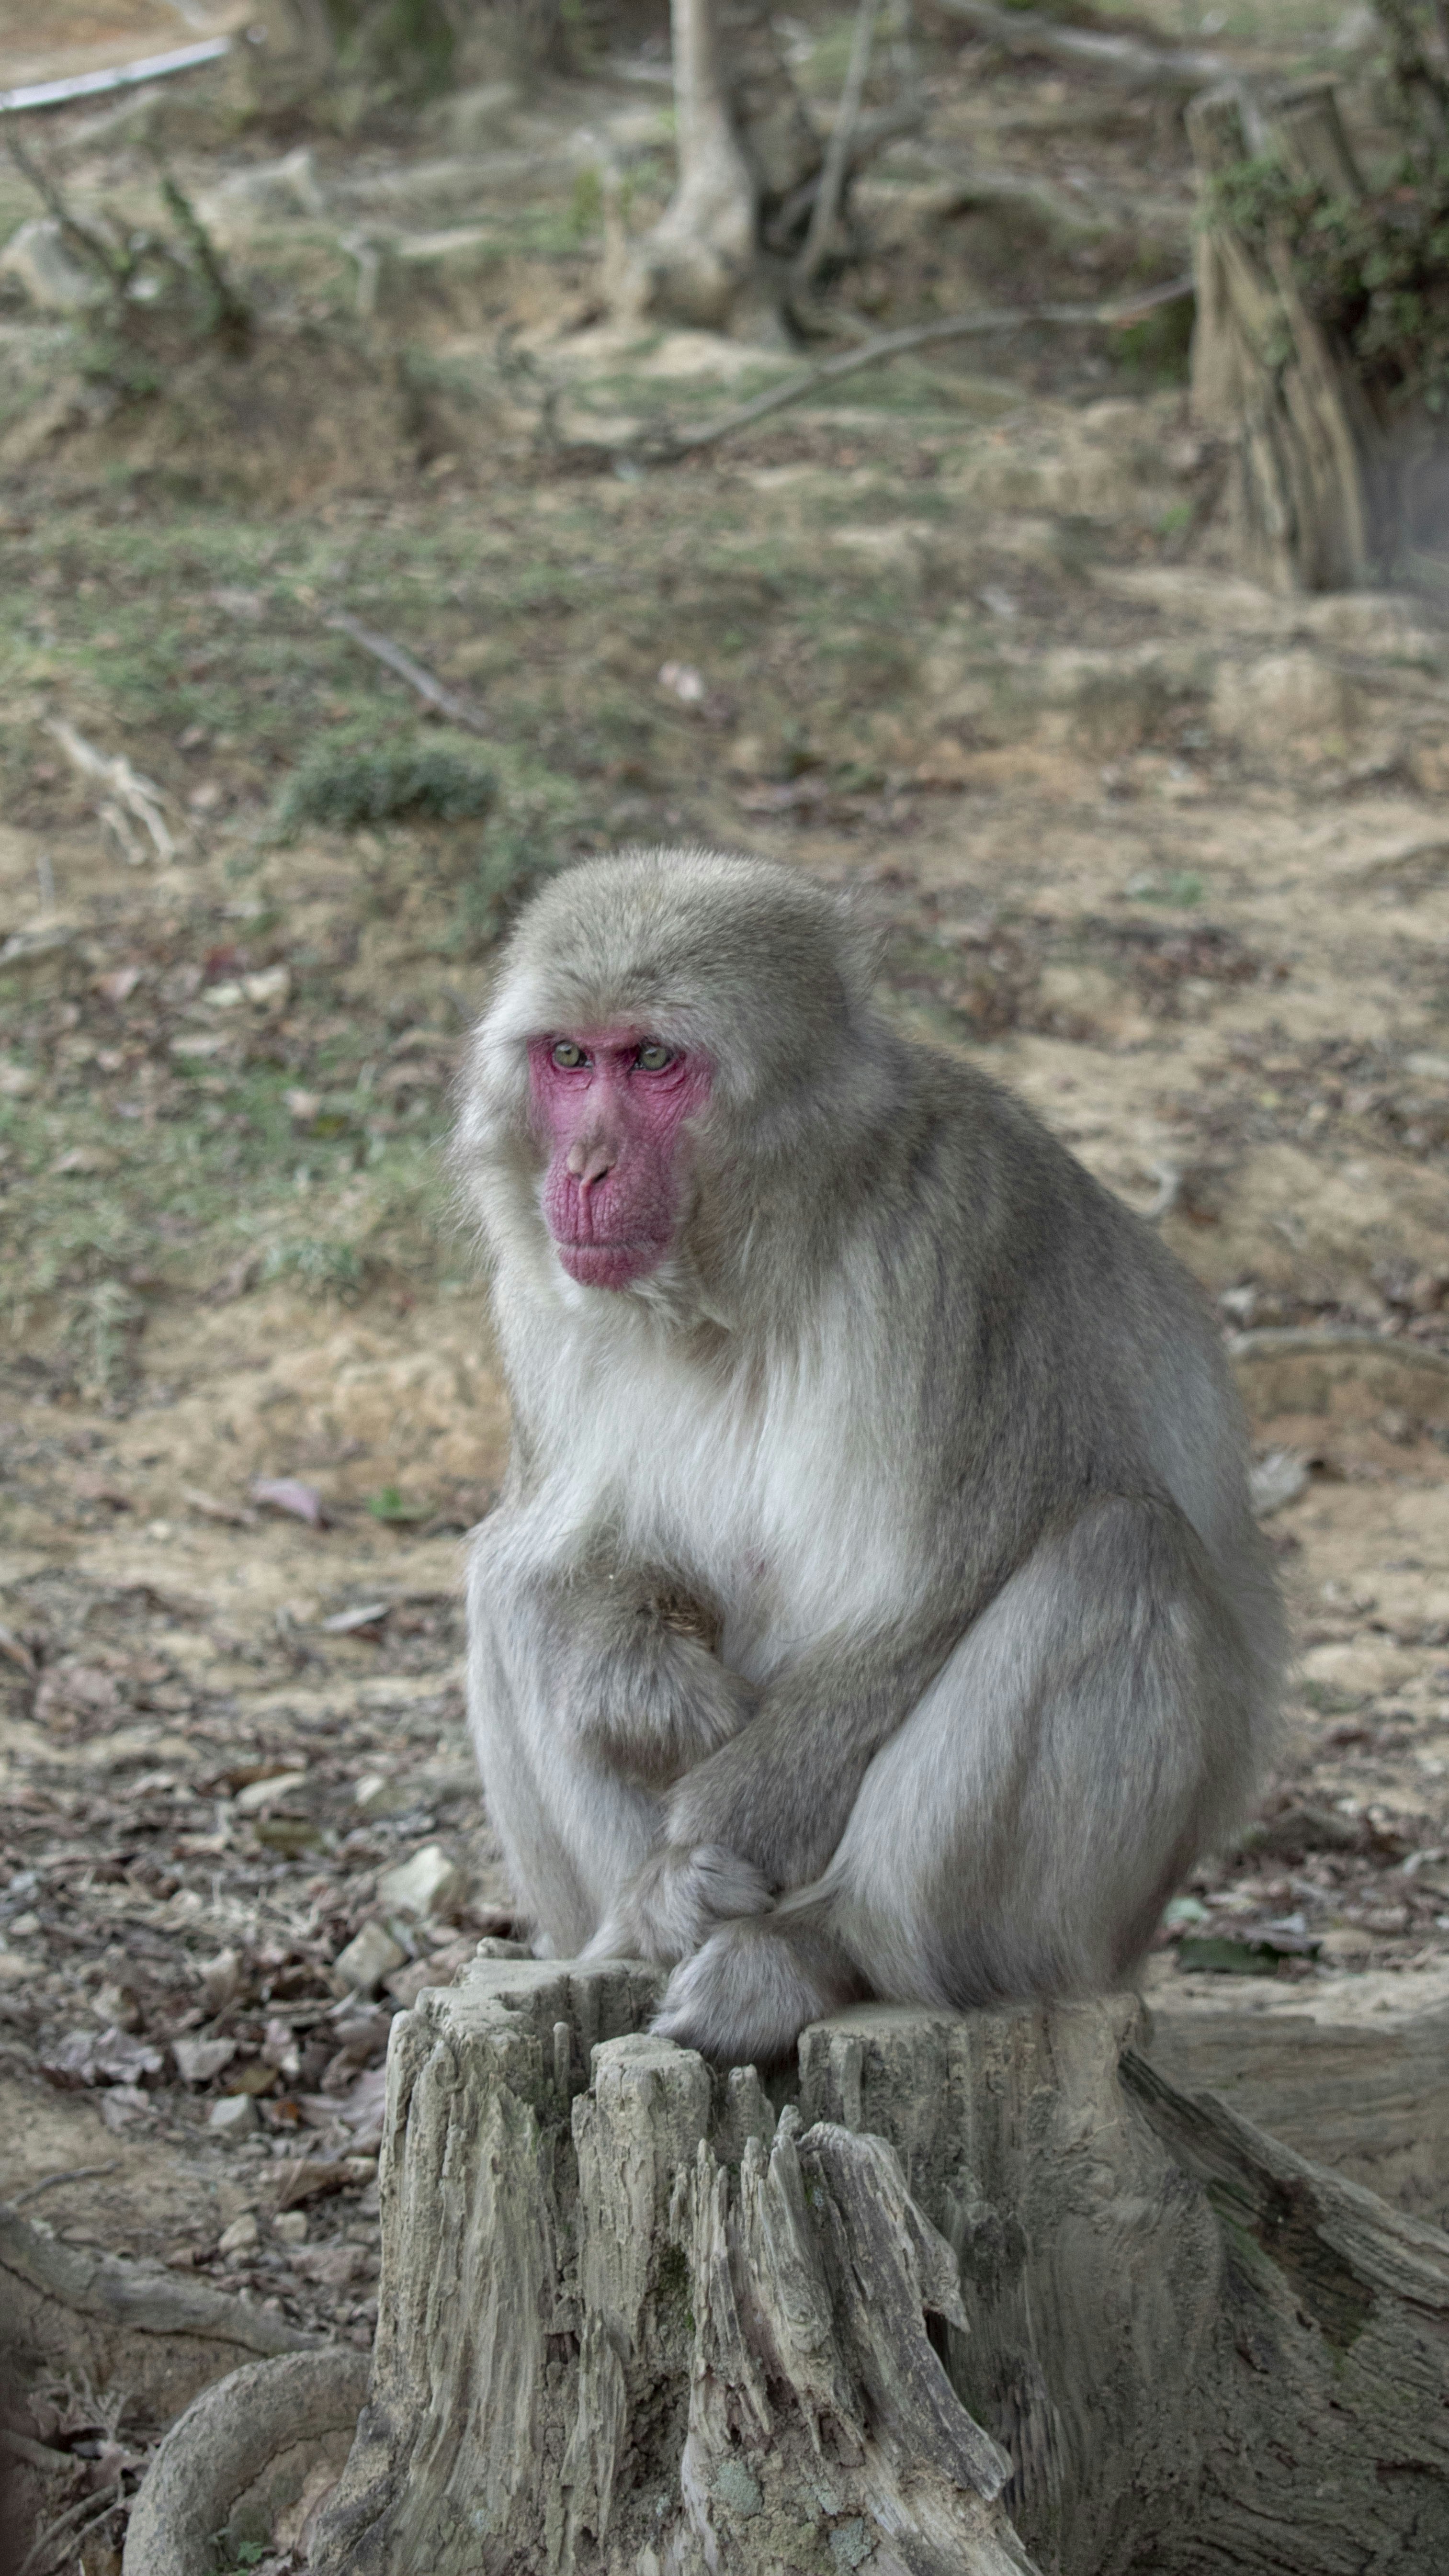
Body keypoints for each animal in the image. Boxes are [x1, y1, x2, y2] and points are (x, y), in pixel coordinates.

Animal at [453, 847, 1283, 2066]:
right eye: (569, 1057)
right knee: (508, 1576)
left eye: (652, 1060)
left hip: (1086, 1931)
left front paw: (701, 1845)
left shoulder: (947, 1245)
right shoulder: (536, 1291)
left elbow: (930, 1587)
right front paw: (641, 1690)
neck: (740, 1278)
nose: (587, 1167)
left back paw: (817, 1944)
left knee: (1119, 1553)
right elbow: (565, 1545)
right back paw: (627, 1932)